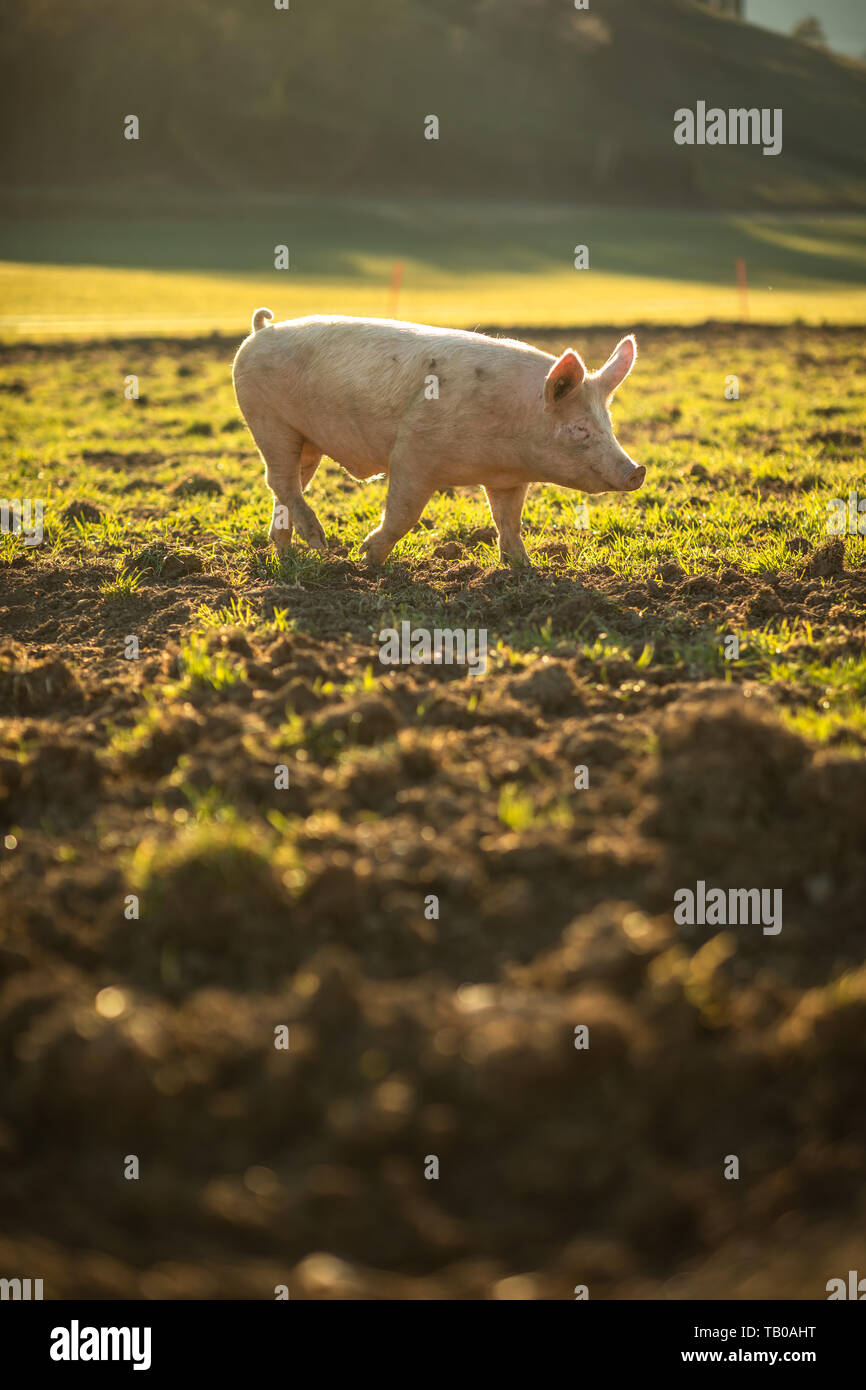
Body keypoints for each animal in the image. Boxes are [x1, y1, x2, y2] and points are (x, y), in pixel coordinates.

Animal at [232, 308, 644, 566]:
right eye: (579, 428)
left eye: (608, 423)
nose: (636, 472)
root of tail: (259, 331)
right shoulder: (413, 454)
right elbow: (404, 514)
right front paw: (366, 558)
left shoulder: (509, 480)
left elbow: (508, 520)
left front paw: (523, 567)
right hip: (268, 420)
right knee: (279, 480)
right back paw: (319, 544)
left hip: (306, 439)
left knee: (287, 488)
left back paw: (287, 555)